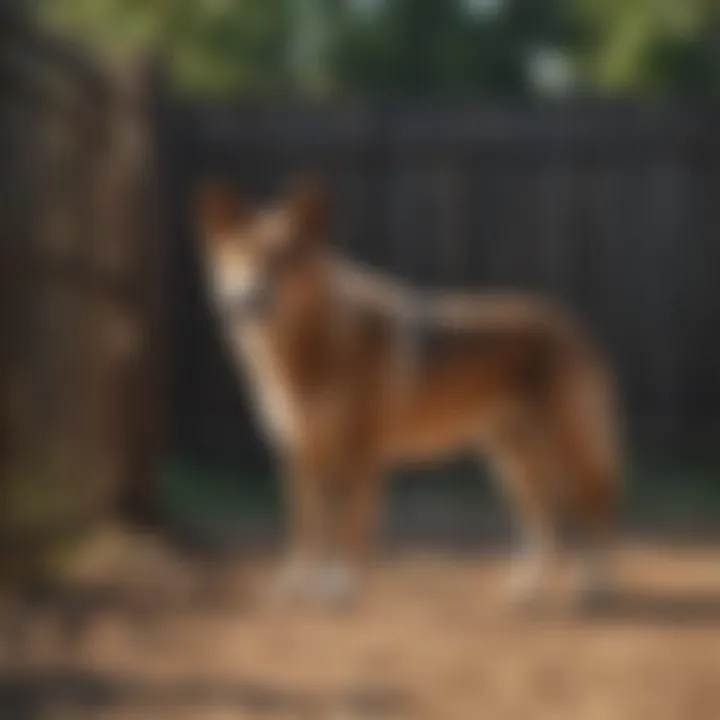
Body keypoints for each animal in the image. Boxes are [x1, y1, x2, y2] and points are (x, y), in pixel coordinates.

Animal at [194, 179, 620, 608]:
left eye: (281, 259)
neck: (313, 352)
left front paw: (339, 588)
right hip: (512, 464)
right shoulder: (298, 457)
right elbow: (307, 531)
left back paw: (596, 587)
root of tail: (573, 323)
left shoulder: (358, 457)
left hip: (566, 455)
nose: (244, 301)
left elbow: (349, 531)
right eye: (238, 257)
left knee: (596, 513)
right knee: (545, 525)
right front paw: (296, 587)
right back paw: (526, 590)